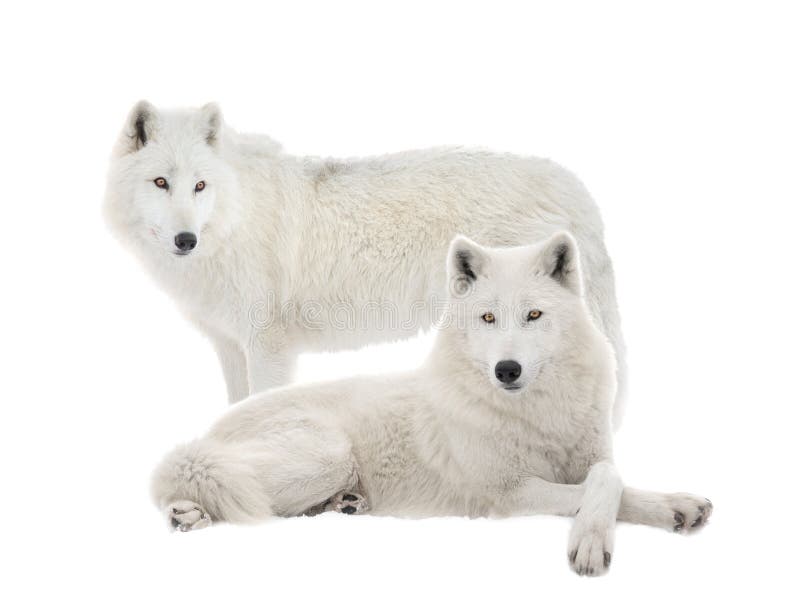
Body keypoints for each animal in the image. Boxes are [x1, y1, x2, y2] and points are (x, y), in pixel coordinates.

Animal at [104, 102, 627, 425]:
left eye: (199, 185)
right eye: (160, 182)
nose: (186, 239)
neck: (235, 217)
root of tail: (573, 185)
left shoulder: (268, 346)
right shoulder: (231, 345)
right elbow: (235, 406)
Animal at [151, 234, 711, 576]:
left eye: (533, 315)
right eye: (488, 318)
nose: (507, 370)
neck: (538, 414)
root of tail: (212, 428)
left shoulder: (593, 457)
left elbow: (610, 479)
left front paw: (677, 507)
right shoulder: (507, 493)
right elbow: (593, 490)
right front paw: (592, 543)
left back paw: (340, 505)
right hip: (324, 454)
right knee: (222, 488)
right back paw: (189, 514)